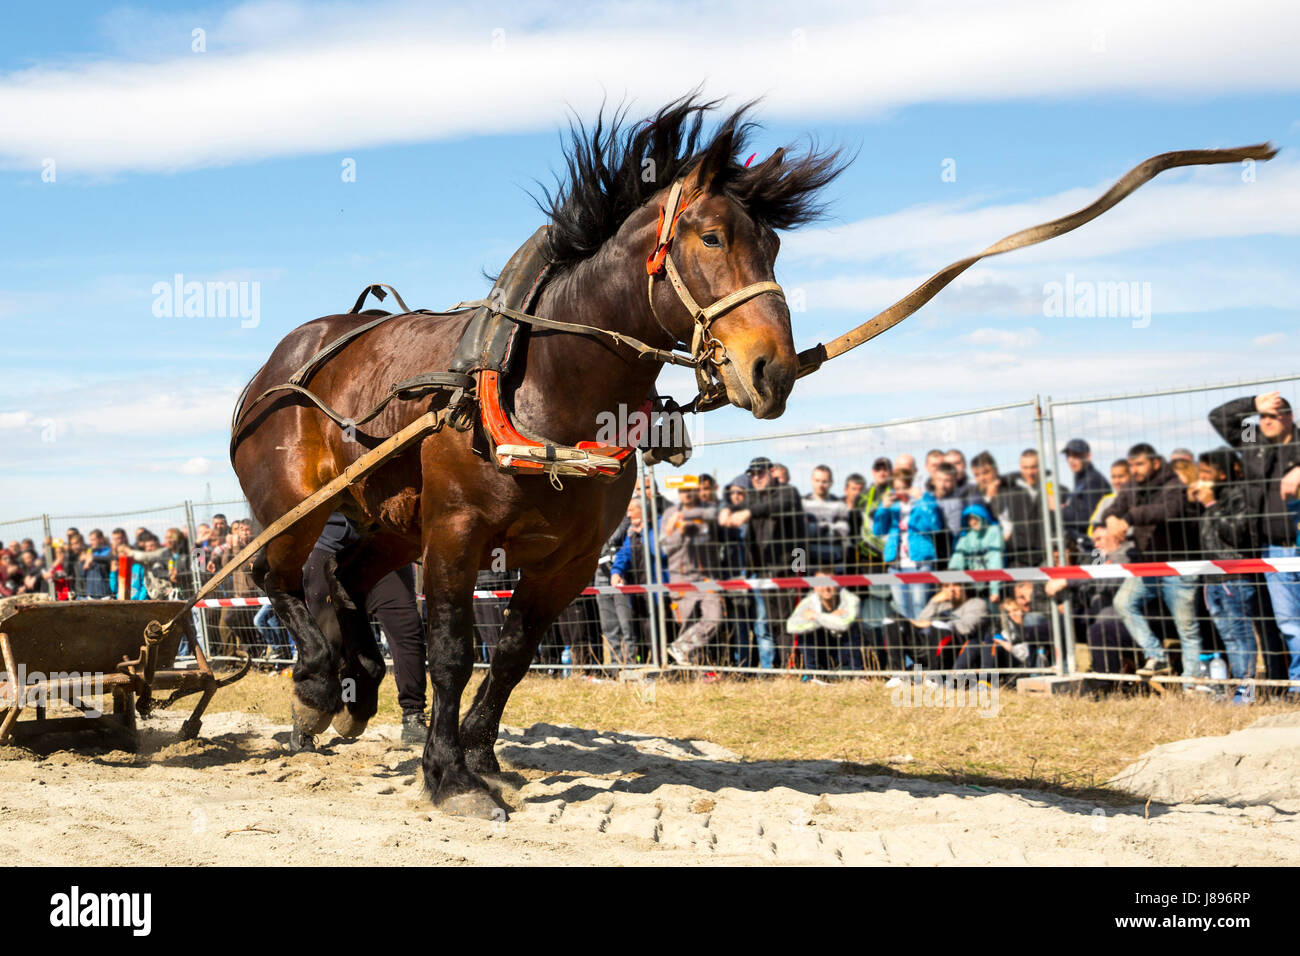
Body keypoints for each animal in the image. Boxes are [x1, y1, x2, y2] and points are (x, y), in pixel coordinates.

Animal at [230, 96, 847, 816]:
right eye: (713, 238)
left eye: (772, 245)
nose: (774, 369)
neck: (550, 390)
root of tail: (276, 367)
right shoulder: (456, 533)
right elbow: (451, 653)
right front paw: (449, 776)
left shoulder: (571, 559)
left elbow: (513, 655)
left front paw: (480, 758)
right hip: (293, 505)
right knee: (275, 576)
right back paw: (317, 686)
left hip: (392, 522)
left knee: (344, 578)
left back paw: (356, 683)